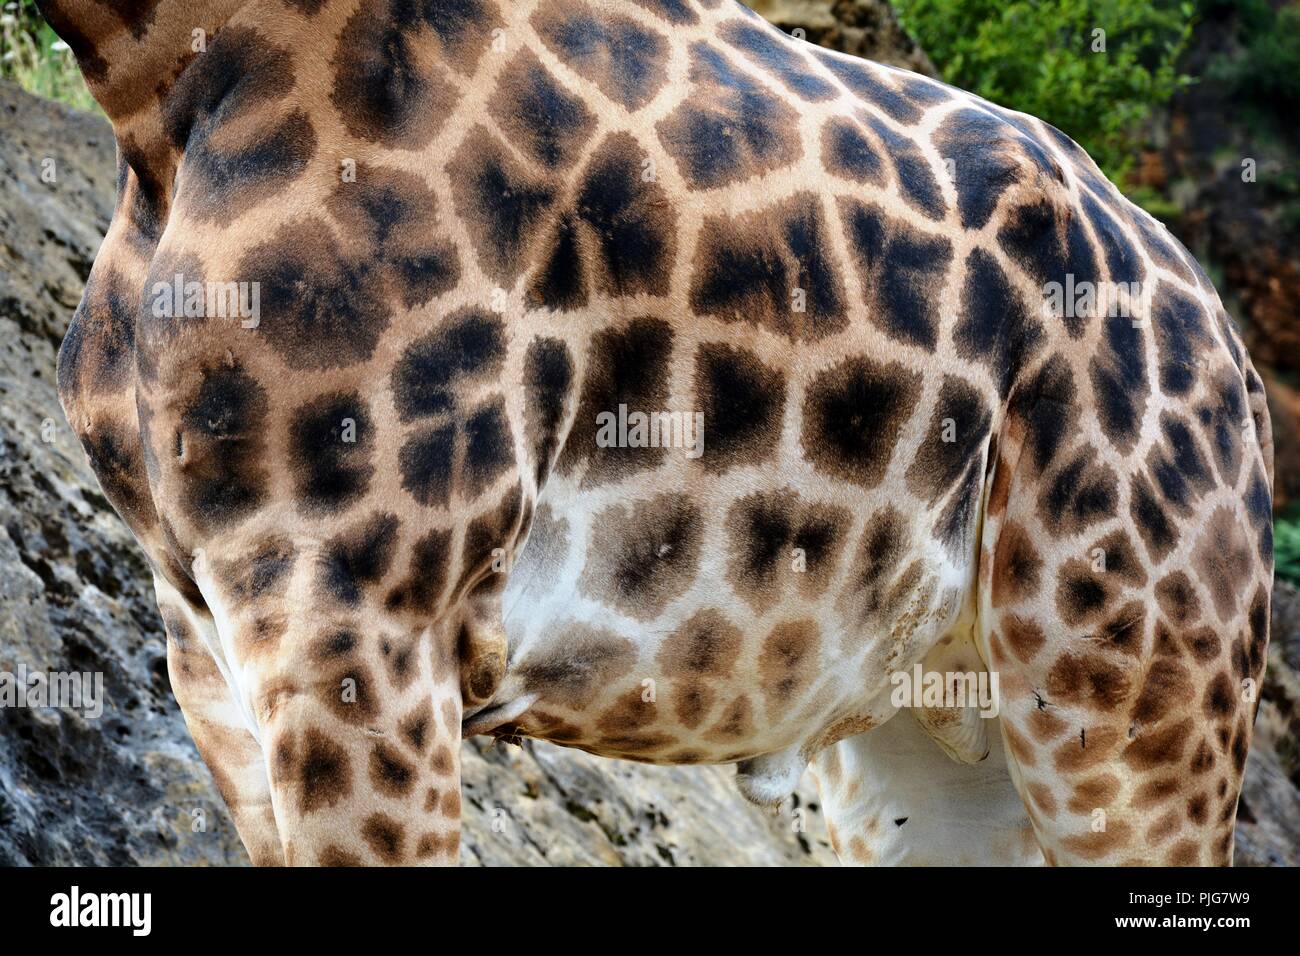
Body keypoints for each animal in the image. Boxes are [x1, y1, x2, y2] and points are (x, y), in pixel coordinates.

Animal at [41, 0, 1273, 867]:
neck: (162, 93)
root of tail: (1242, 367)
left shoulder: (355, 609)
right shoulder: (205, 629)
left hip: (1133, 710)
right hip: (942, 743)